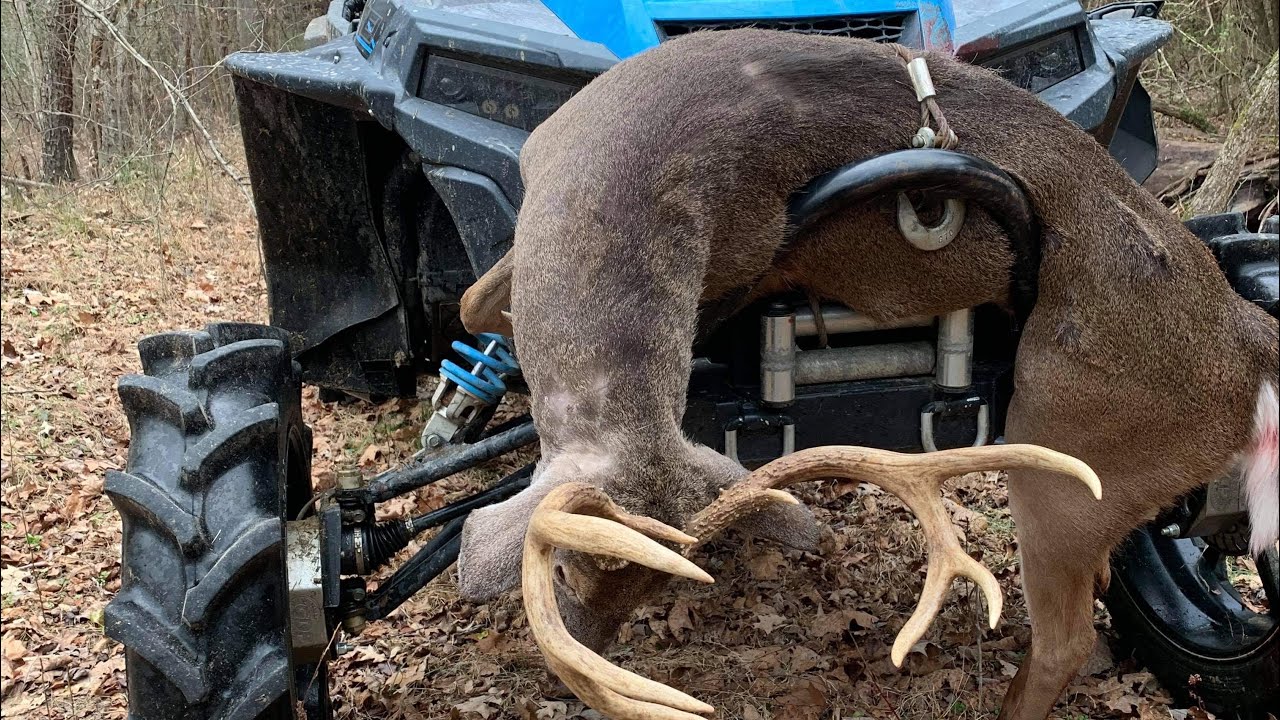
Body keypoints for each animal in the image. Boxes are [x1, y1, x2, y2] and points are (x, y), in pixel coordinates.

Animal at [452, 29, 1280, 719]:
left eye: (564, 574)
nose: (584, 663)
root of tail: (1249, 342)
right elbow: (473, 305)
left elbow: (470, 304)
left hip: (1064, 444)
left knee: (1067, 636)